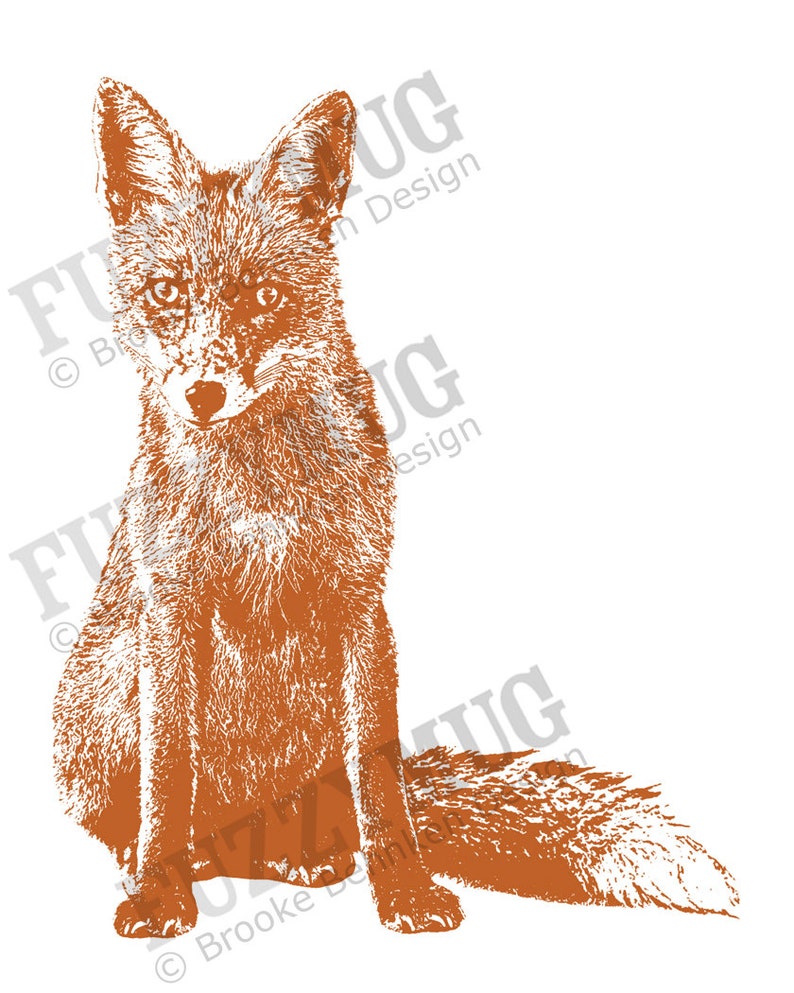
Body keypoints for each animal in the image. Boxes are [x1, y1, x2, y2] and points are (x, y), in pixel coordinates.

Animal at [53, 78, 739, 938]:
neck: (259, 499)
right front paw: (159, 891)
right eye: (168, 292)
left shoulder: (360, 598)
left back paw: (299, 852)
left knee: (324, 808)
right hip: (109, 685)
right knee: (152, 814)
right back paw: (174, 859)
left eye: (265, 297)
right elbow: (167, 779)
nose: (203, 394)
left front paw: (405, 888)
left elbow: (380, 789)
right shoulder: (171, 610)